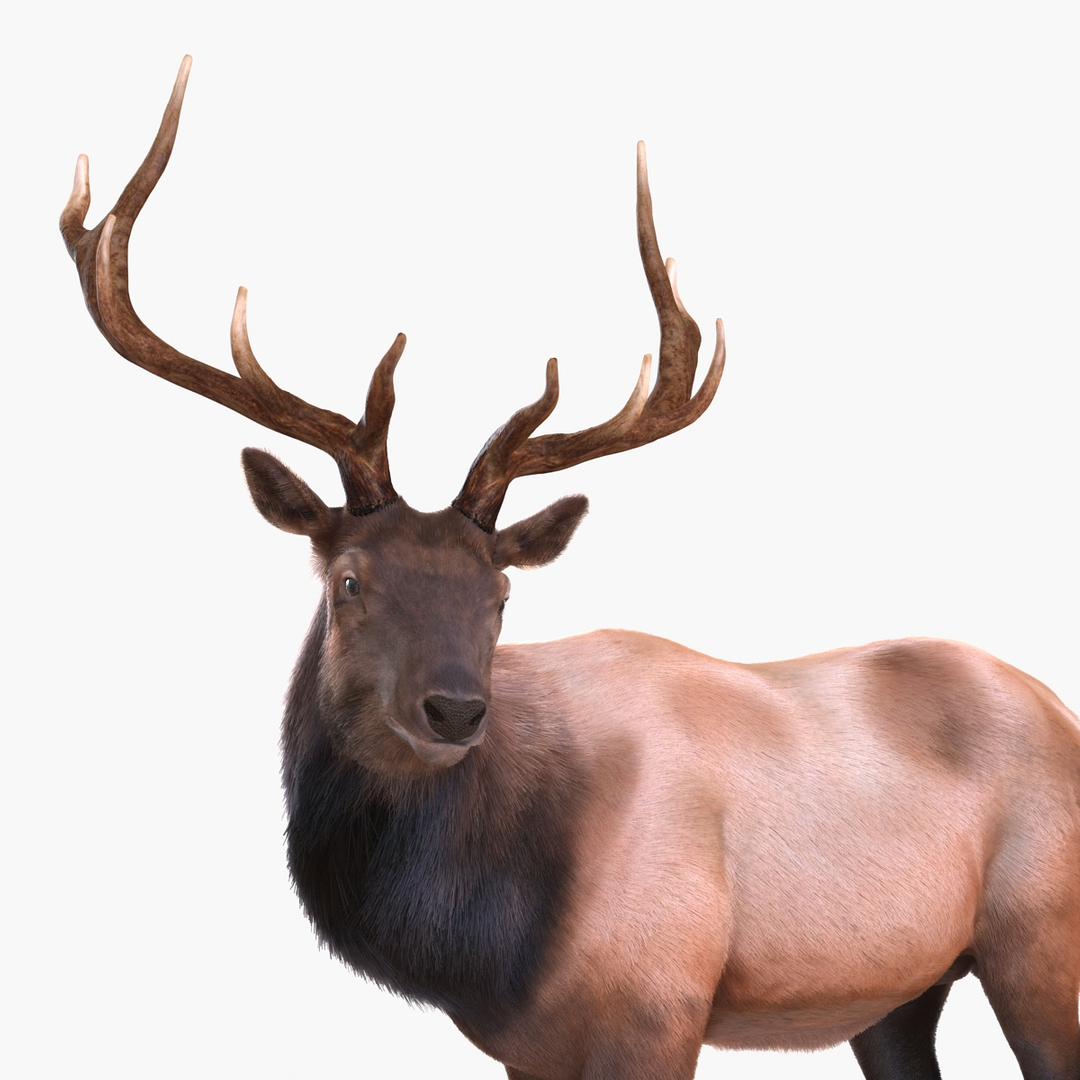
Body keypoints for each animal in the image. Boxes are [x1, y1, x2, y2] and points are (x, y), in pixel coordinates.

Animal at [61, 56, 1080, 1080]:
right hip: (904, 989)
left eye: (502, 592)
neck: (486, 936)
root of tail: (1058, 708)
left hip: (1041, 944)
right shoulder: (530, 1044)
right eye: (349, 581)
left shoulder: (662, 1004)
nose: (455, 709)